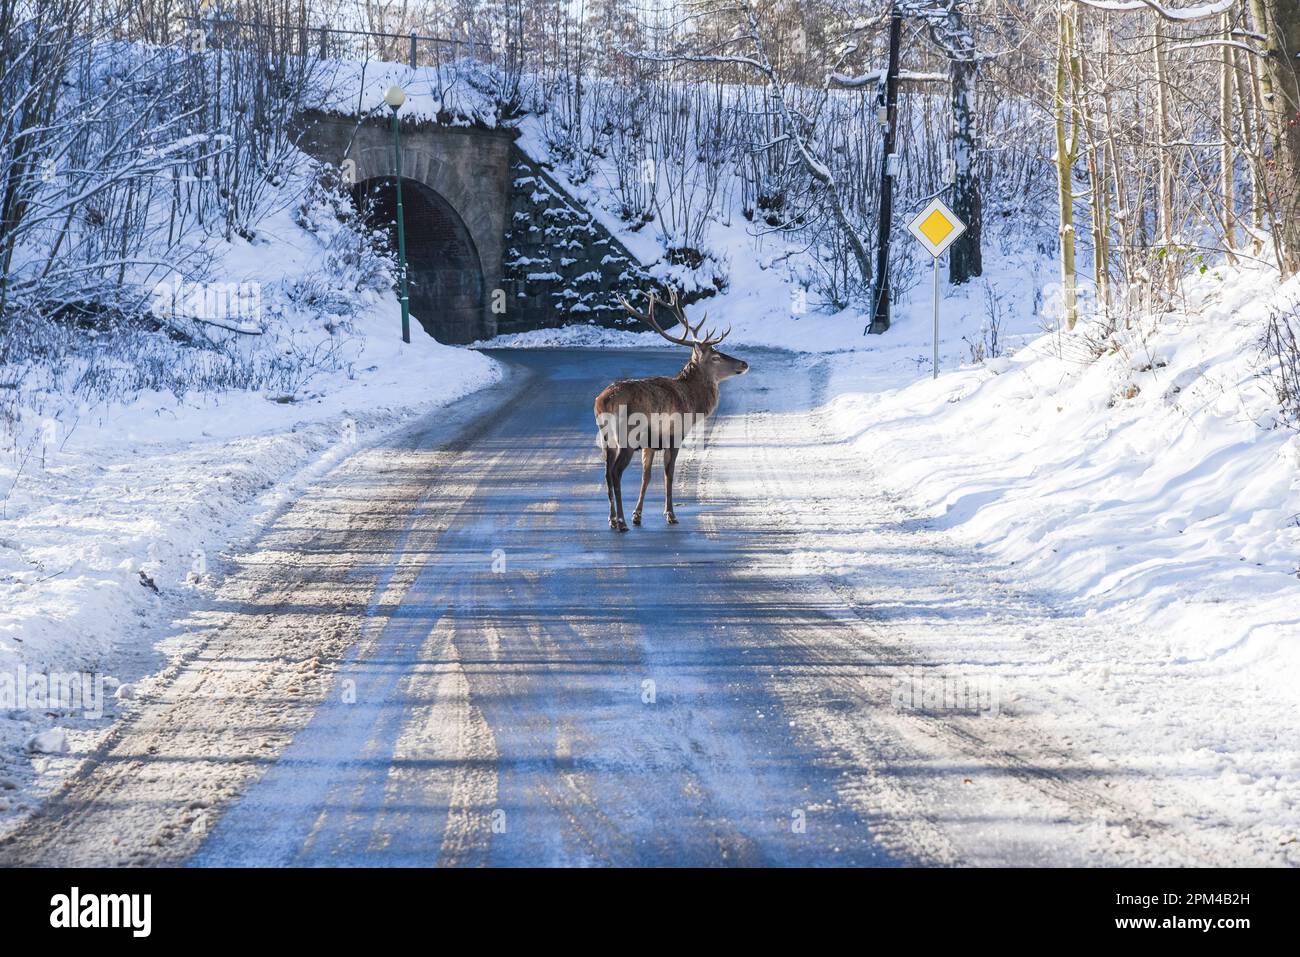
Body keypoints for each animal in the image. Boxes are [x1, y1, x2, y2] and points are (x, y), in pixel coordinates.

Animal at [593, 288, 749, 531]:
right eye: (716, 356)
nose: (744, 363)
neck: (692, 402)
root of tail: (602, 402)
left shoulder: (649, 444)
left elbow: (646, 476)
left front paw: (638, 514)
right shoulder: (674, 436)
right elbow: (669, 474)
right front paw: (670, 514)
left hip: (606, 437)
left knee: (607, 472)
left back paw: (611, 519)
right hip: (627, 436)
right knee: (616, 472)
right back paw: (621, 521)